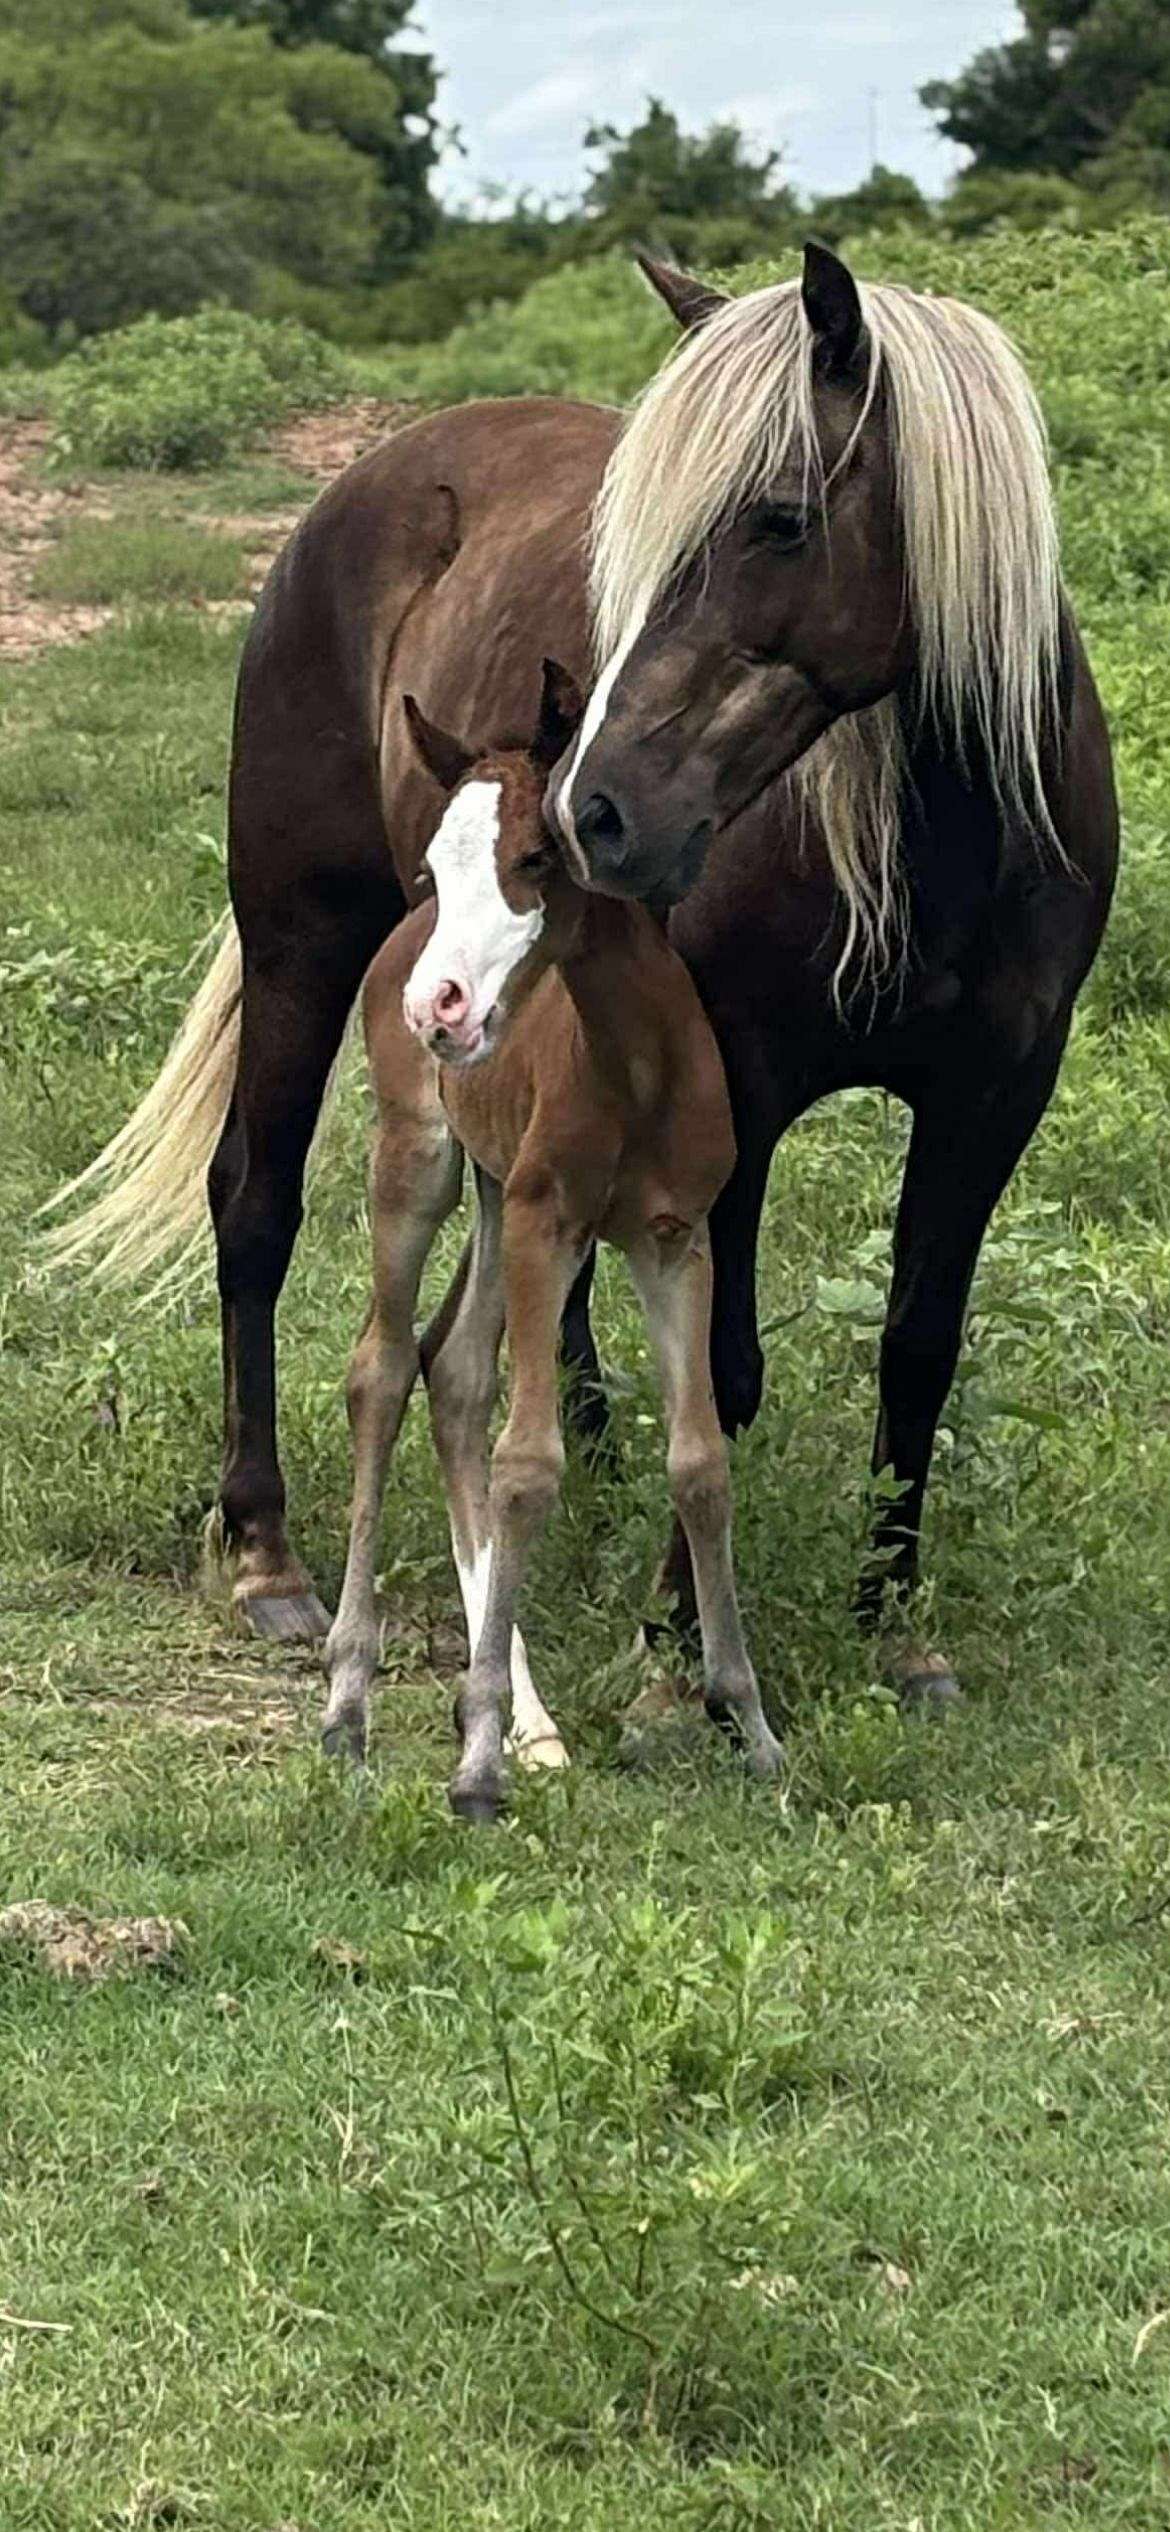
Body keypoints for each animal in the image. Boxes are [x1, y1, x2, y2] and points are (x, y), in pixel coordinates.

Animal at [321, 663, 783, 1814]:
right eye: (437, 863)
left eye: (536, 858)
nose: (440, 1008)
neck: (639, 1061)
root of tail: (398, 942)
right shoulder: (550, 1221)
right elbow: (528, 1464)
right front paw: (477, 1762)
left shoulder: (673, 1240)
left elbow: (700, 1463)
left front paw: (751, 1727)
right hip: (426, 1168)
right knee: (383, 1370)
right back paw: (352, 1701)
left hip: (498, 1196)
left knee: (454, 1370)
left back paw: (528, 1716)